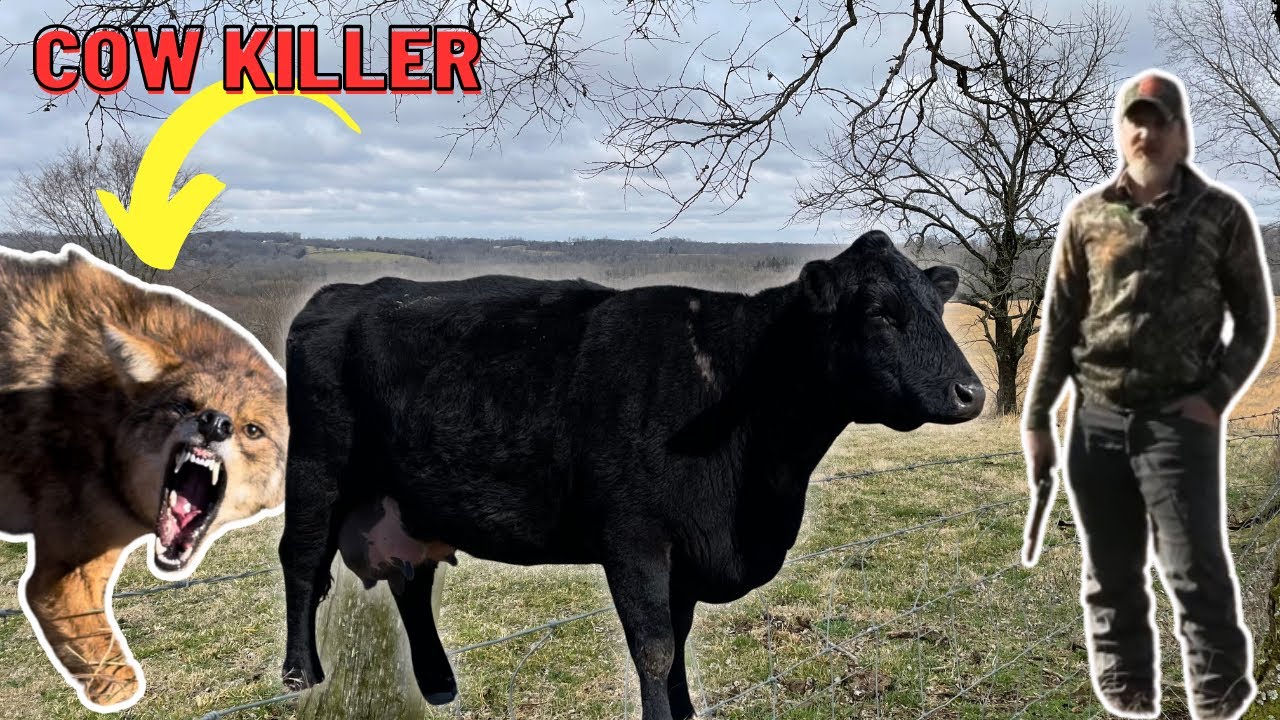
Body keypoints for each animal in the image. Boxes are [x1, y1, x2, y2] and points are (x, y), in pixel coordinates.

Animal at [278, 230, 985, 720]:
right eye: (879, 312)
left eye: (936, 305)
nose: (970, 392)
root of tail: (342, 294)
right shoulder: (636, 538)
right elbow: (655, 647)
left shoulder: (689, 552)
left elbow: (679, 639)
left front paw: (689, 712)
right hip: (318, 469)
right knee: (303, 562)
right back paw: (299, 677)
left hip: (412, 499)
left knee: (412, 581)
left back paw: (439, 685)